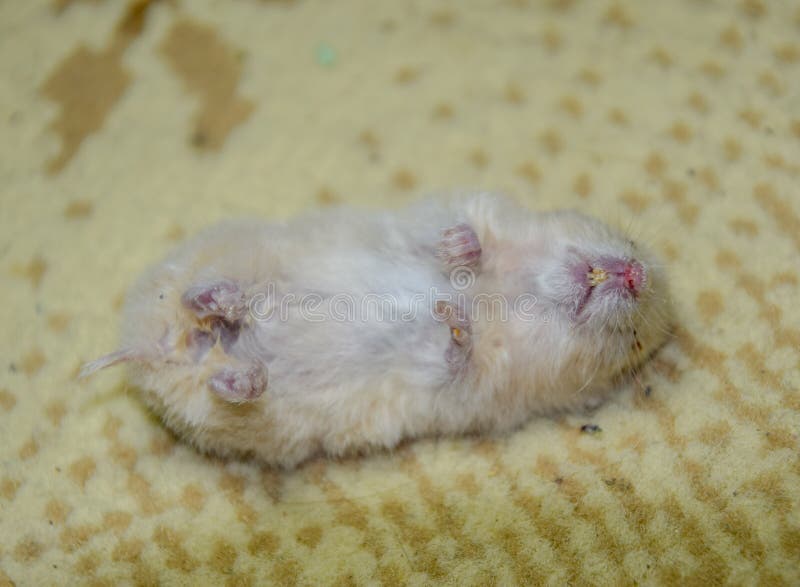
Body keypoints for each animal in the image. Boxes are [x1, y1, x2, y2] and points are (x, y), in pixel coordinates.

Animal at [82, 193, 672, 468]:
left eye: (634, 343)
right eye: (630, 241)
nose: (634, 275)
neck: (520, 291)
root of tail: (149, 350)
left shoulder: (476, 393)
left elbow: (457, 361)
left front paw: (456, 326)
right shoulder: (444, 211)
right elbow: (449, 239)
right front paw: (461, 251)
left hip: (234, 419)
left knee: (223, 387)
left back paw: (242, 367)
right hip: (199, 264)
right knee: (189, 296)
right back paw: (223, 302)